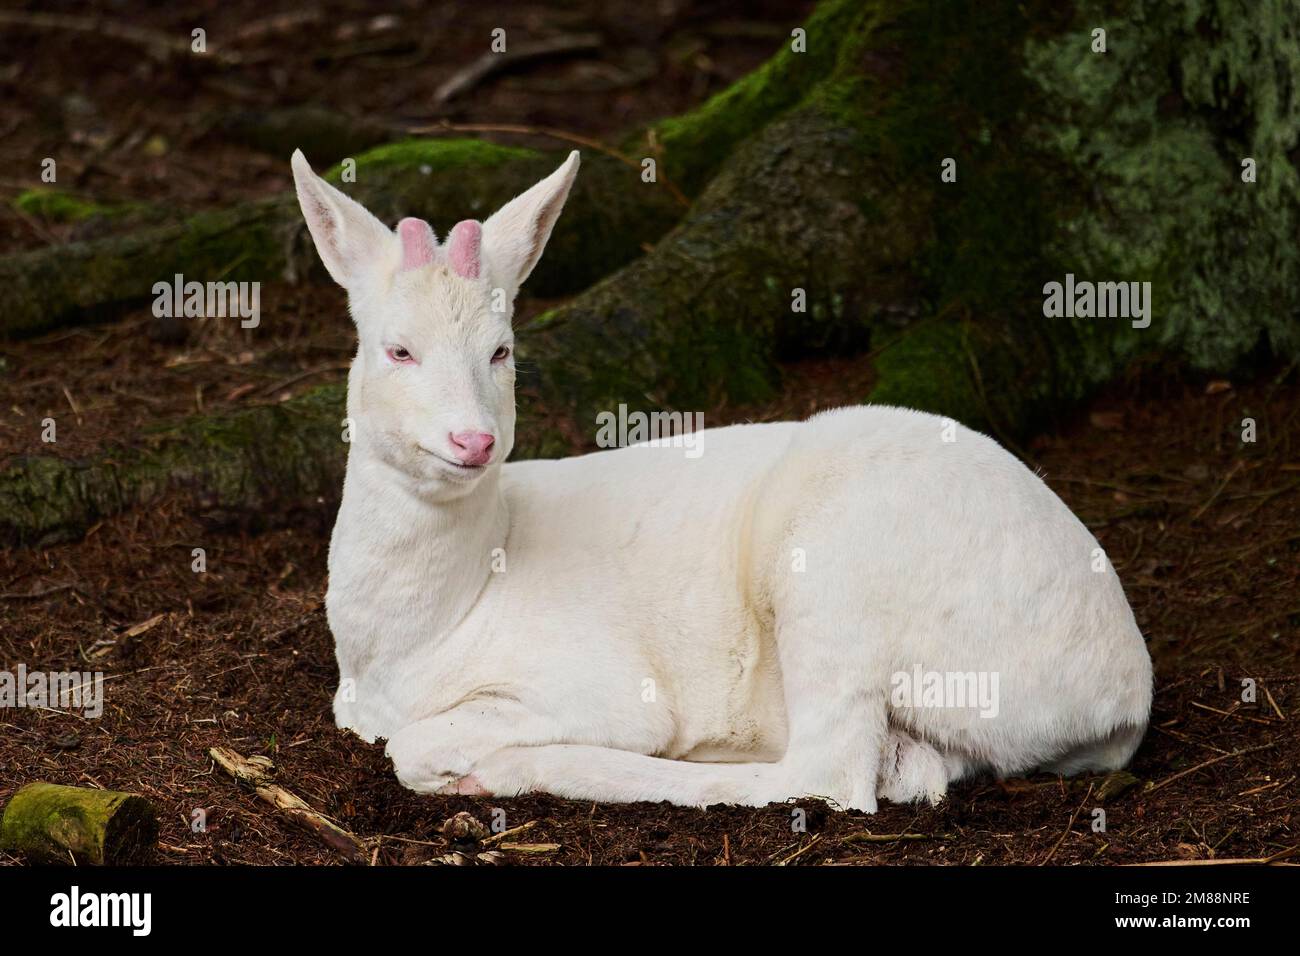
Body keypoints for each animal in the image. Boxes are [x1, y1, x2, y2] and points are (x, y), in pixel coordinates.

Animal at [290, 148, 1153, 811]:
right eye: (396, 349)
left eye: (502, 349)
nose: (474, 439)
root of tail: (1125, 695)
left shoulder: (597, 682)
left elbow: (413, 746)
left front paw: (471, 763)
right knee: (916, 771)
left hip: (838, 576)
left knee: (829, 776)